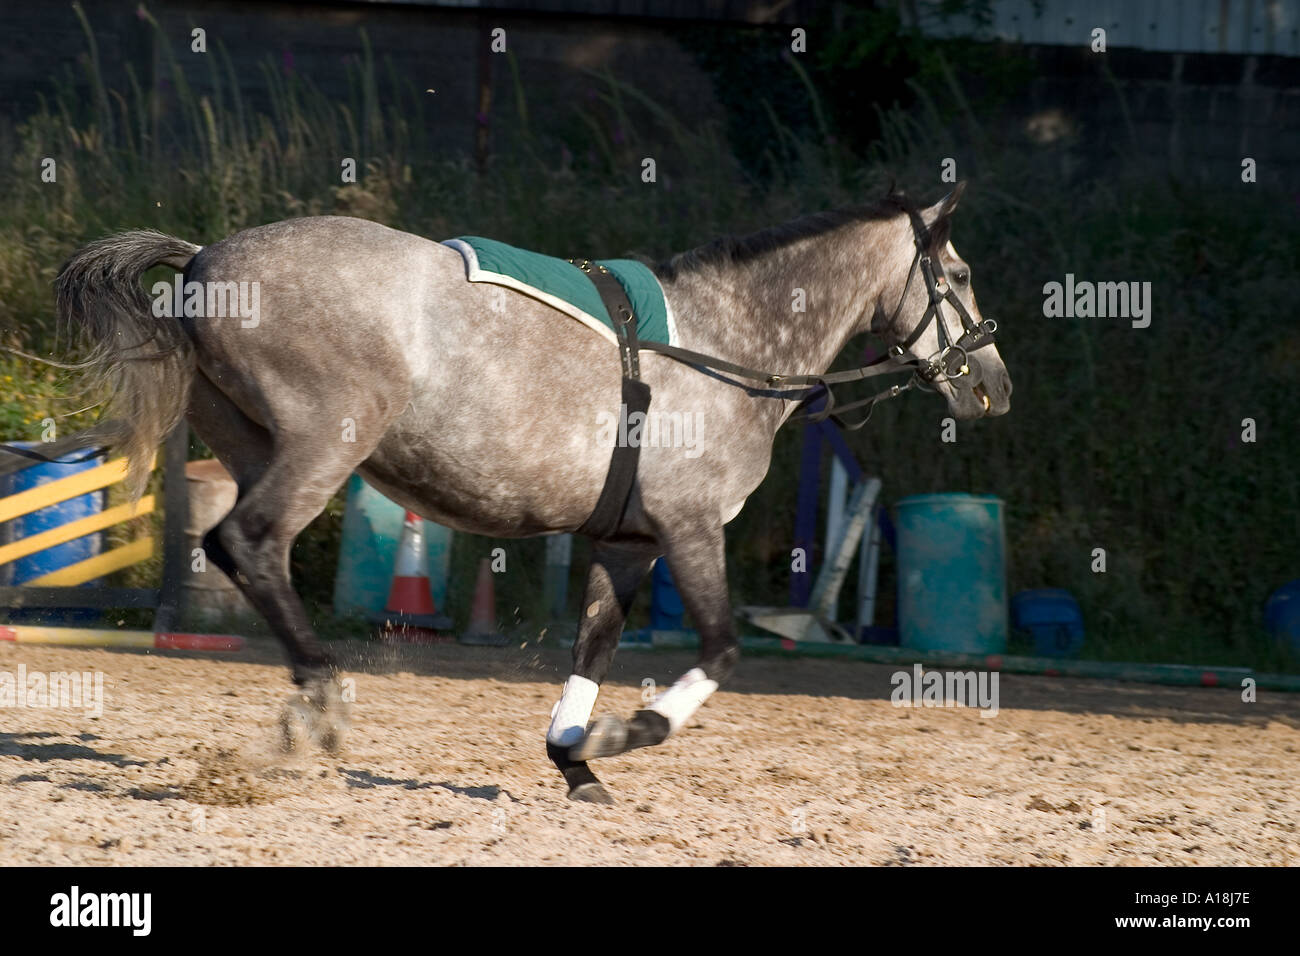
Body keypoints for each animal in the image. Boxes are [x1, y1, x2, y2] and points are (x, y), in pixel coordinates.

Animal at [54, 184, 1011, 803]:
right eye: (960, 277)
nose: (995, 388)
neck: (728, 344)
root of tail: (204, 259)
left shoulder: (629, 544)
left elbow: (592, 651)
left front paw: (576, 758)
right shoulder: (691, 529)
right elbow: (722, 650)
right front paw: (627, 735)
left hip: (261, 446)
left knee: (252, 552)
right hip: (327, 443)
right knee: (247, 544)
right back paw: (321, 698)